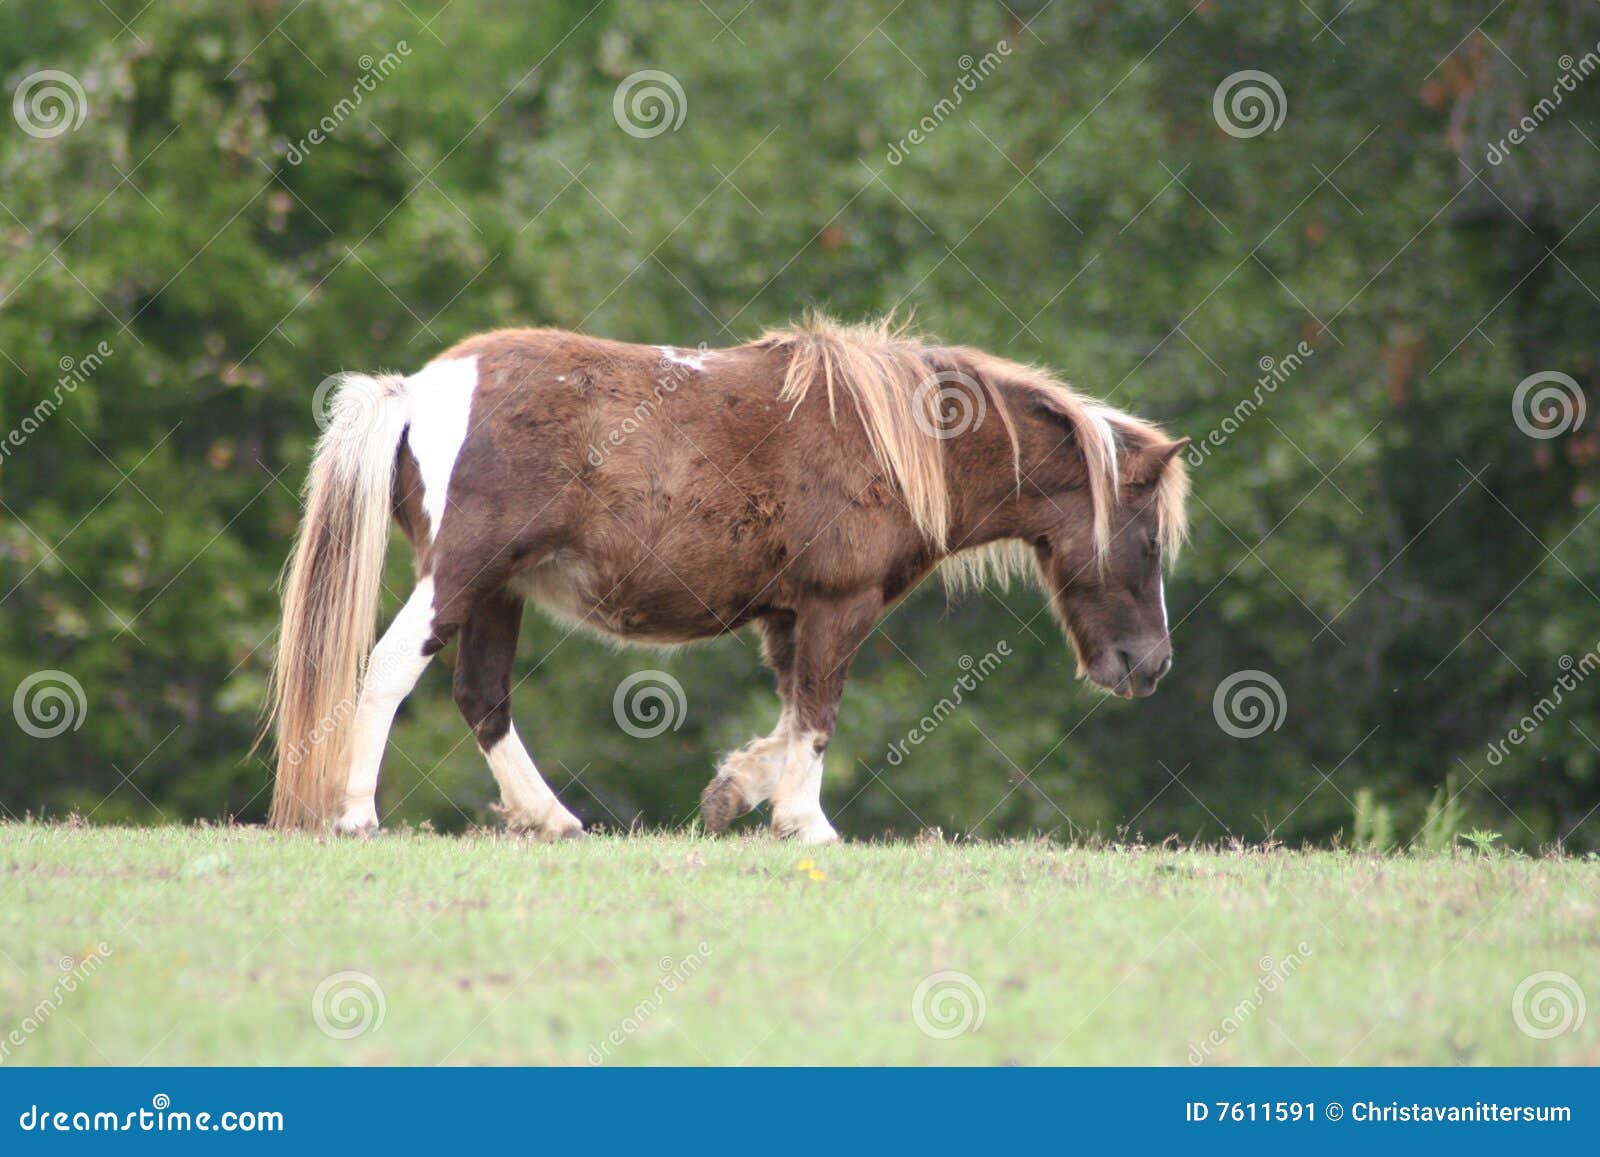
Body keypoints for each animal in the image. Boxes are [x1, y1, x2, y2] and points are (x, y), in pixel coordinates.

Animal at [264, 315, 1189, 844]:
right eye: (1148, 542)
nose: (1150, 666)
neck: (897, 441)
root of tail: (419, 390)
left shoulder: (787, 616)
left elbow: (788, 717)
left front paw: (734, 791)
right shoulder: (837, 607)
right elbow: (816, 716)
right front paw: (805, 823)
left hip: (497, 592)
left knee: (482, 699)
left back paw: (552, 818)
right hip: (462, 573)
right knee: (389, 670)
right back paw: (357, 813)